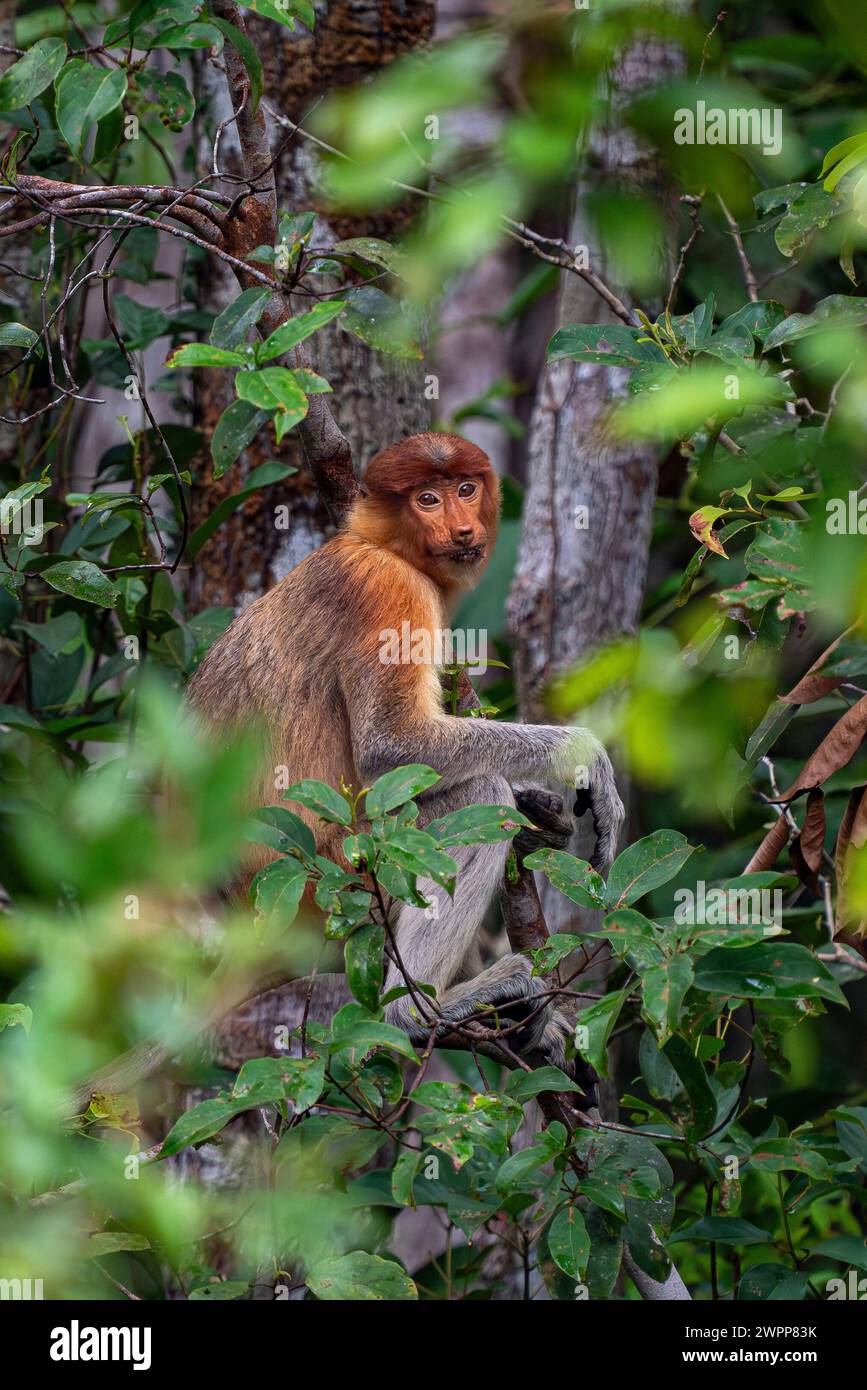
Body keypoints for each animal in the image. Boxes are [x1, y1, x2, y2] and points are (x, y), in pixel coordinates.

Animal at [186, 430, 624, 1076]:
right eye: (426, 499)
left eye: (465, 489)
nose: (463, 529)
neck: (378, 544)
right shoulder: (390, 590)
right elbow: (393, 745)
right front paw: (583, 758)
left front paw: (544, 814)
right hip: (338, 875)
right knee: (476, 799)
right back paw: (420, 1013)